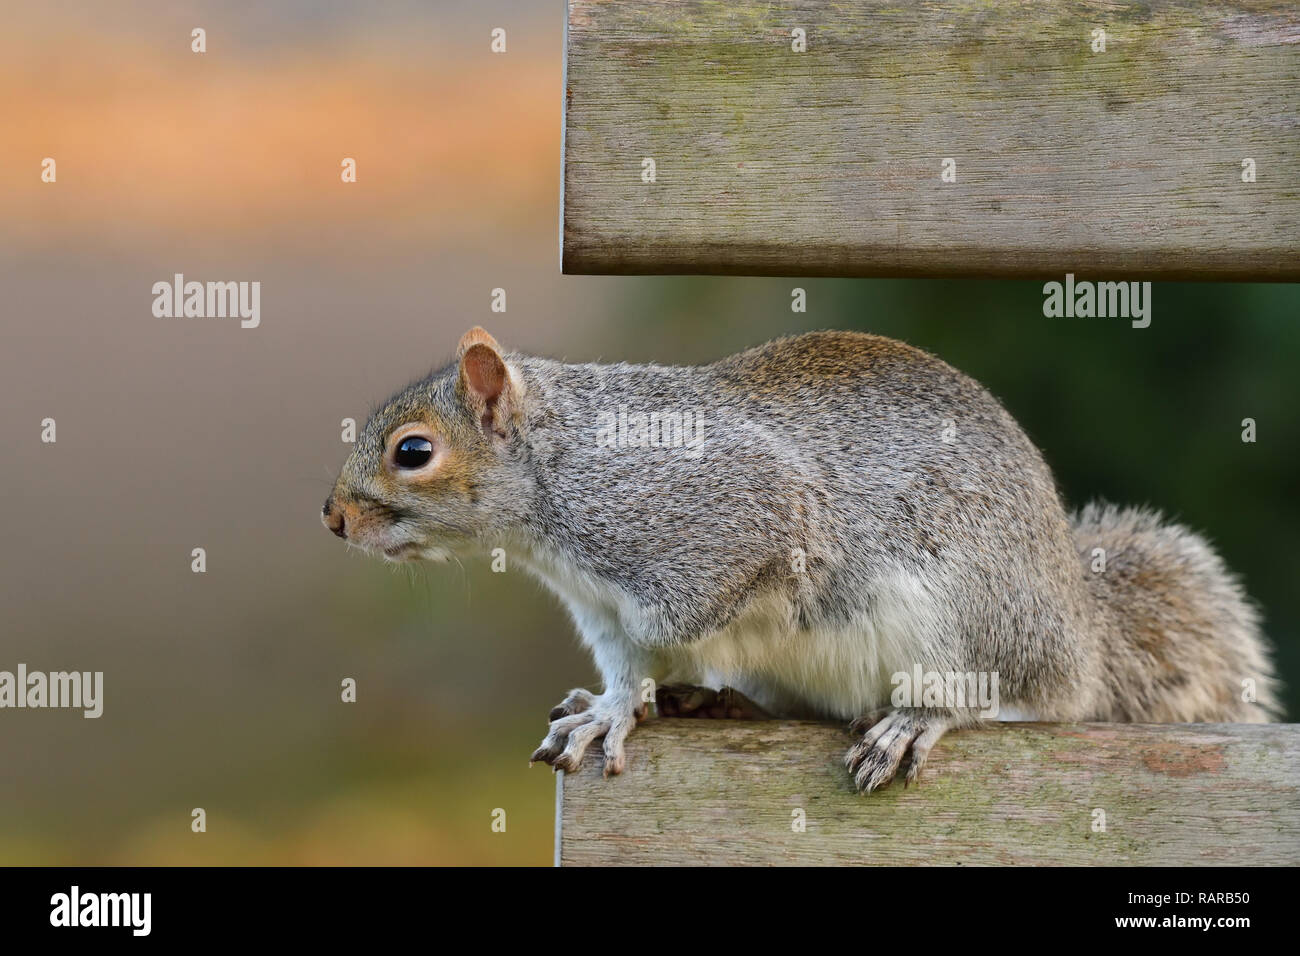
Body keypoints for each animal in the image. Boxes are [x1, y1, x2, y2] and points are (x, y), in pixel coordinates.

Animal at [323, 326, 1279, 792]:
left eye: (413, 452)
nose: (331, 518)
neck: (564, 472)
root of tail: (1078, 628)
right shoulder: (602, 610)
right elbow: (628, 660)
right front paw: (617, 703)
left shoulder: (715, 525)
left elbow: (681, 619)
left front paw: (624, 707)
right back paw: (722, 702)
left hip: (967, 616)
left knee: (1008, 697)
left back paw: (918, 720)